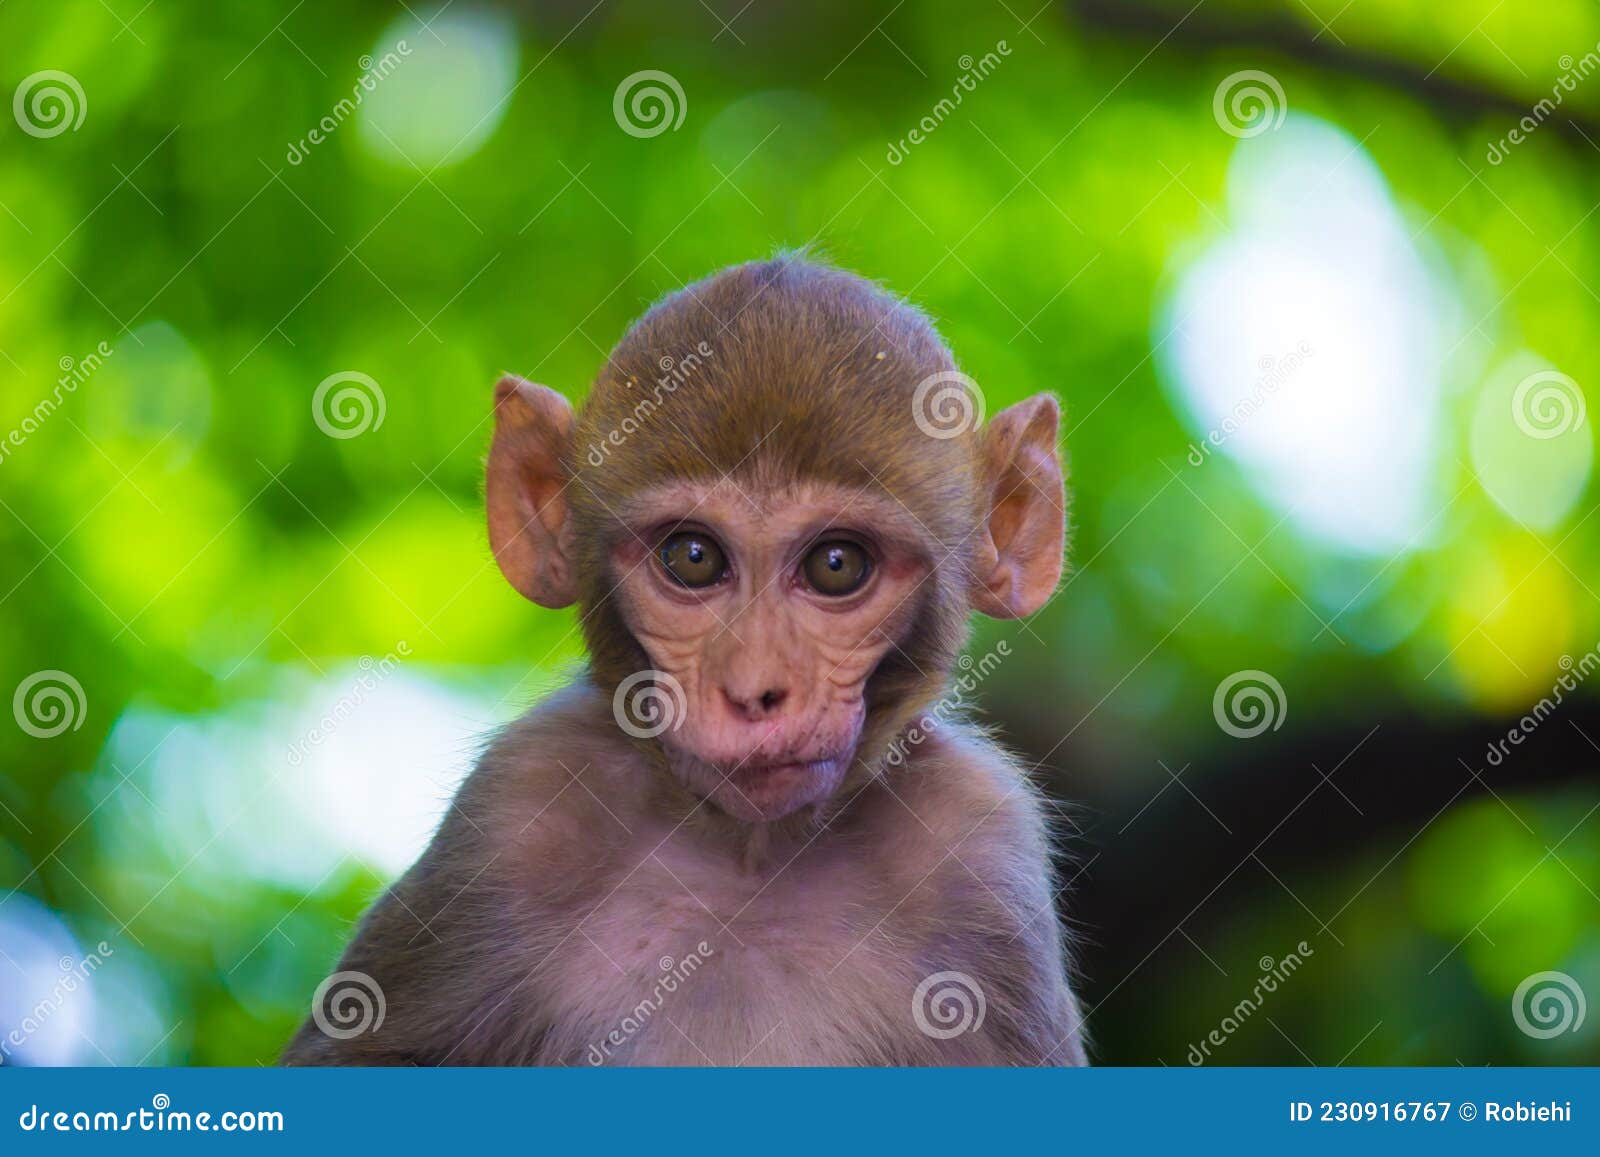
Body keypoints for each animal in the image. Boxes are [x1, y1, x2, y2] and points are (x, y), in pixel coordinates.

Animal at [281, 254, 1086, 1066]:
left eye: (836, 565)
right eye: (693, 557)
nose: (756, 690)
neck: (747, 857)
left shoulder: (982, 848)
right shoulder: (516, 804)